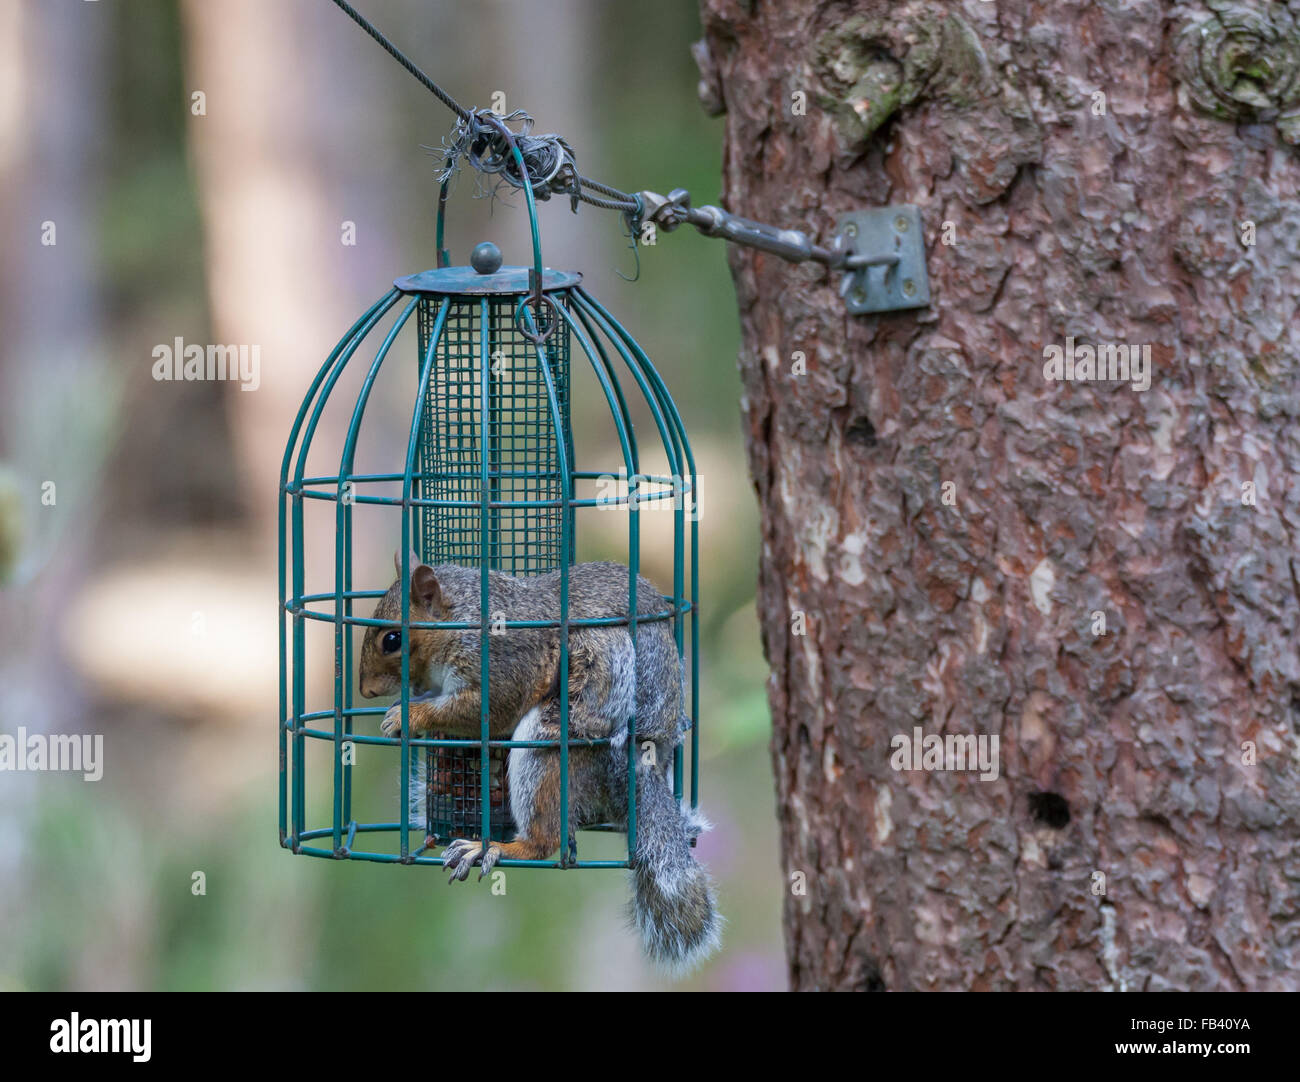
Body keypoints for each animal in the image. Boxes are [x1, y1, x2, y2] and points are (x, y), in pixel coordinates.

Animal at [358, 551, 721, 973]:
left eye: (392, 640)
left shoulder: (504, 664)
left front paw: (407, 716)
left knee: (546, 840)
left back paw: (496, 847)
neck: (461, 618)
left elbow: (489, 710)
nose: (365, 690)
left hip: (550, 748)